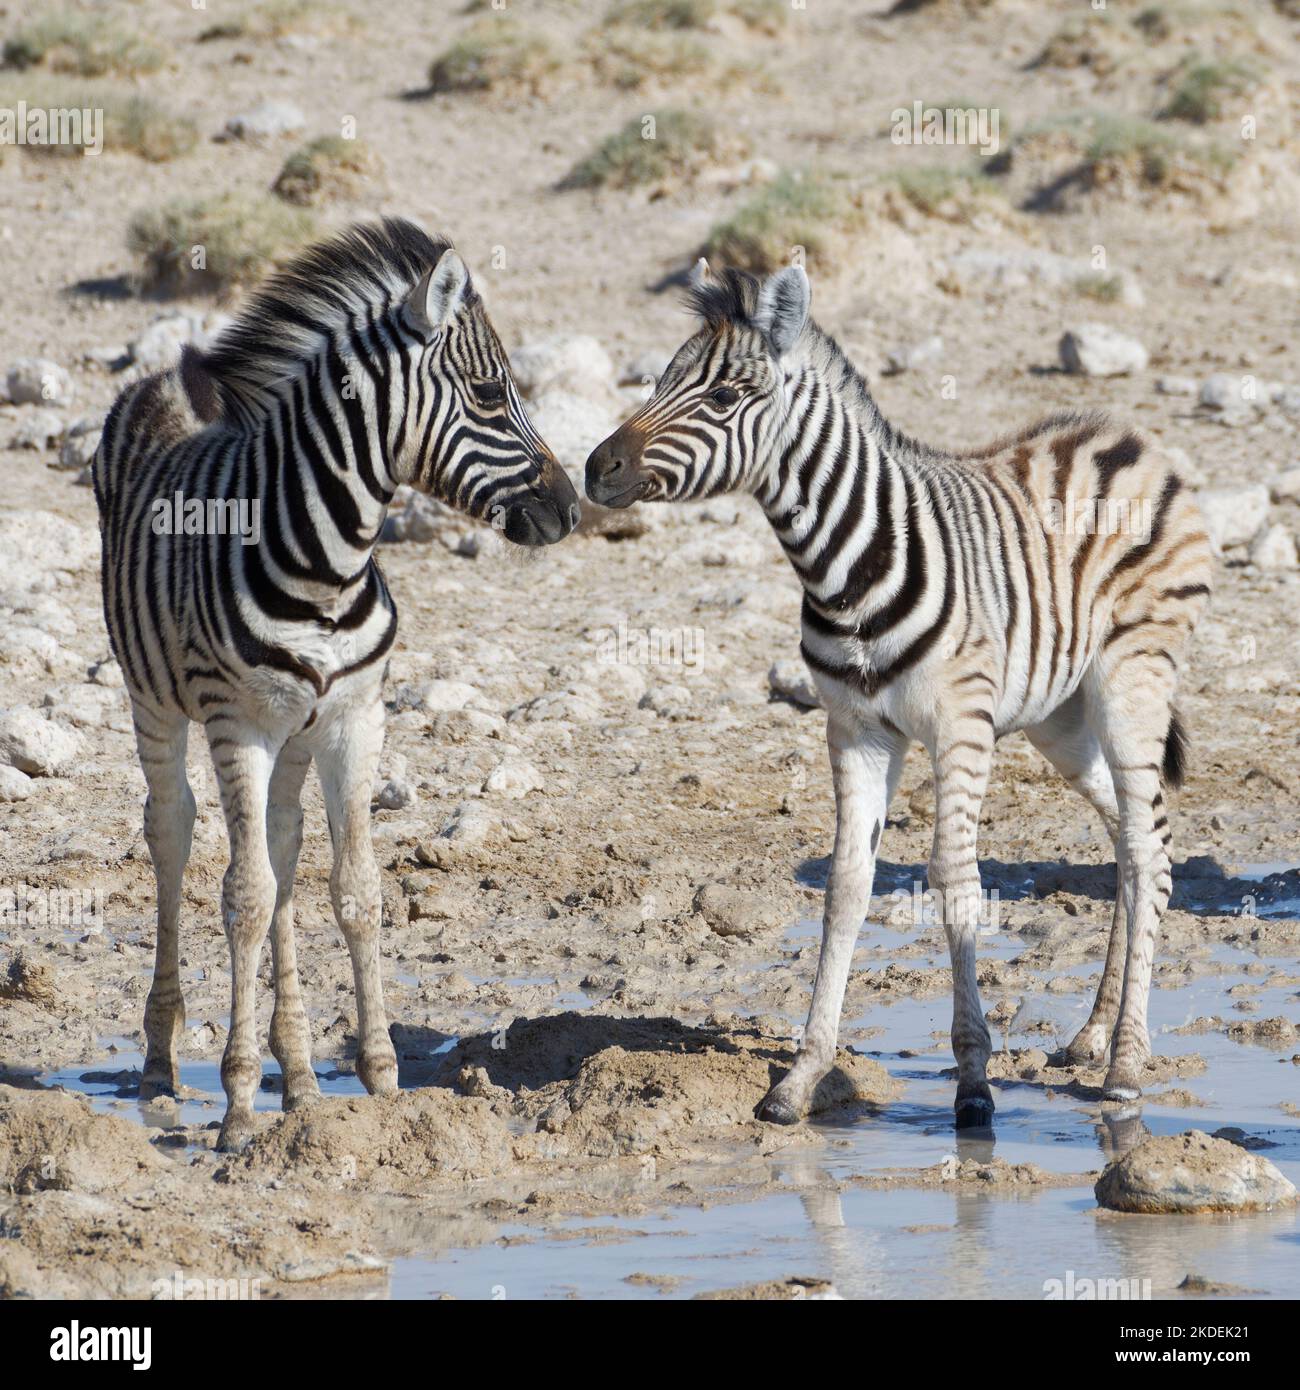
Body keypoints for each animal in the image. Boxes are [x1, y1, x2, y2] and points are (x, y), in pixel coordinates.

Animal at [93, 218, 579, 1151]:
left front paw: (380, 1081)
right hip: (153, 702)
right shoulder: (238, 724)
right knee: (172, 832)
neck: (325, 563)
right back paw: (165, 1064)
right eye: (490, 394)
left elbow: (354, 891)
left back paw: (301, 1078)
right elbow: (244, 898)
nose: (572, 509)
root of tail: (172, 370)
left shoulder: (355, 717)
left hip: (297, 733)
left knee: (282, 844)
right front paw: (238, 1108)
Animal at [586, 258, 1211, 1129]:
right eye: (659, 381)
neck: (842, 569)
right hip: (1060, 717)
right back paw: (1092, 1036)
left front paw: (975, 1083)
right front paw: (802, 1076)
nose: (594, 468)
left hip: (1133, 678)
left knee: (1149, 847)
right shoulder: (856, 728)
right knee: (1127, 839)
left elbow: (955, 881)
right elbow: (847, 885)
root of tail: (1133, 435)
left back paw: (1125, 1064)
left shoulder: (960, 723)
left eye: (724, 396)